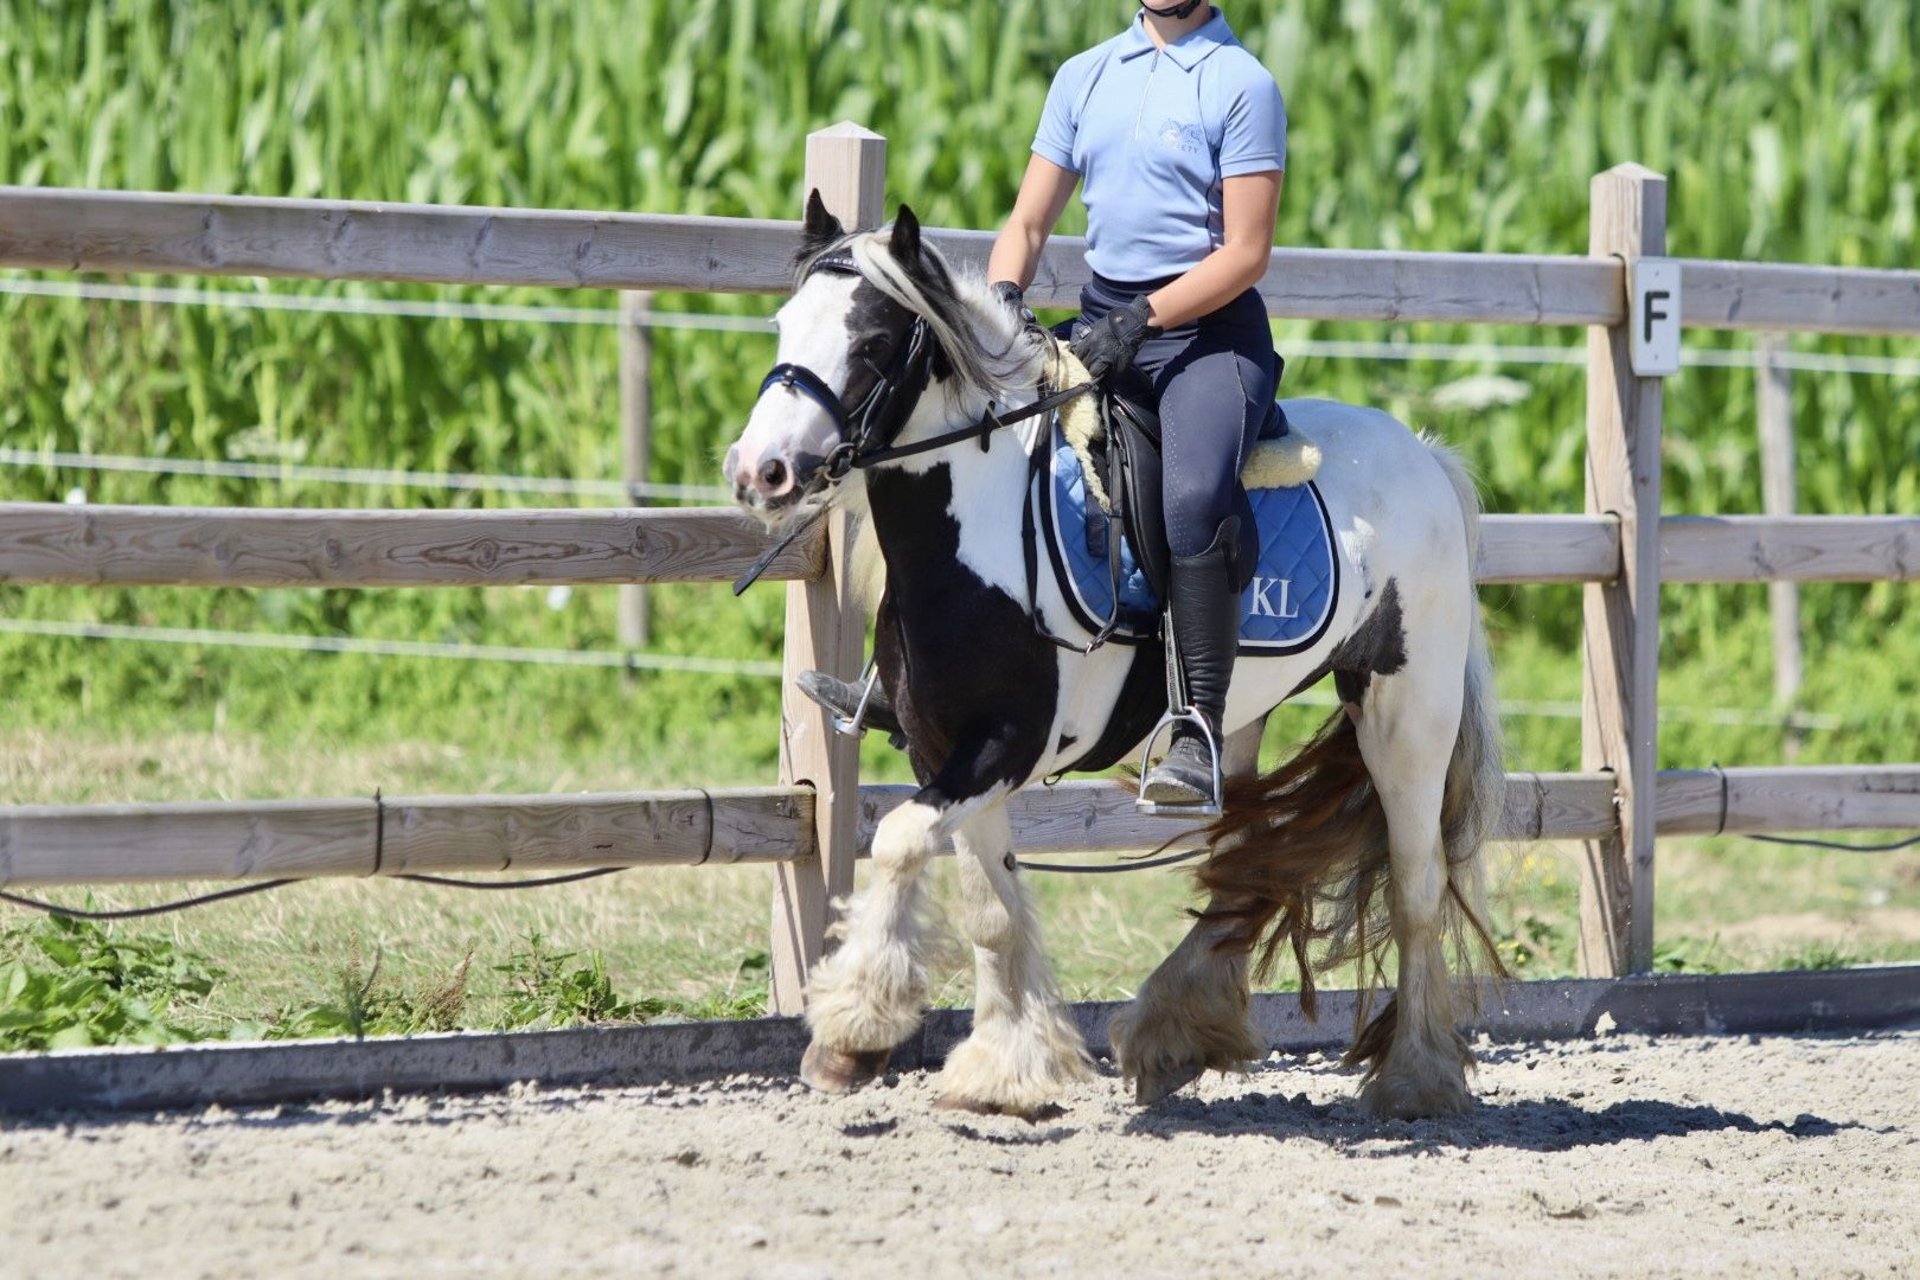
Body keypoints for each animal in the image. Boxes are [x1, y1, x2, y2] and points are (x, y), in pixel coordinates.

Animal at [723, 194, 1506, 1121]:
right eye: (784, 325)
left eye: (873, 343)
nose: (760, 472)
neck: (977, 537)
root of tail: (1424, 451)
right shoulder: (945, 750)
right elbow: (989, 907)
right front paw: (1005, 1067)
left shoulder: (1005, 745)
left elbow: (902, 838)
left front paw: (854, 1027)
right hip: (1234, 722)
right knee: (1244, 857)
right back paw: (1175, 1034)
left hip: (1405, 713)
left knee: (1417, 882)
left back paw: (1416, 1076)